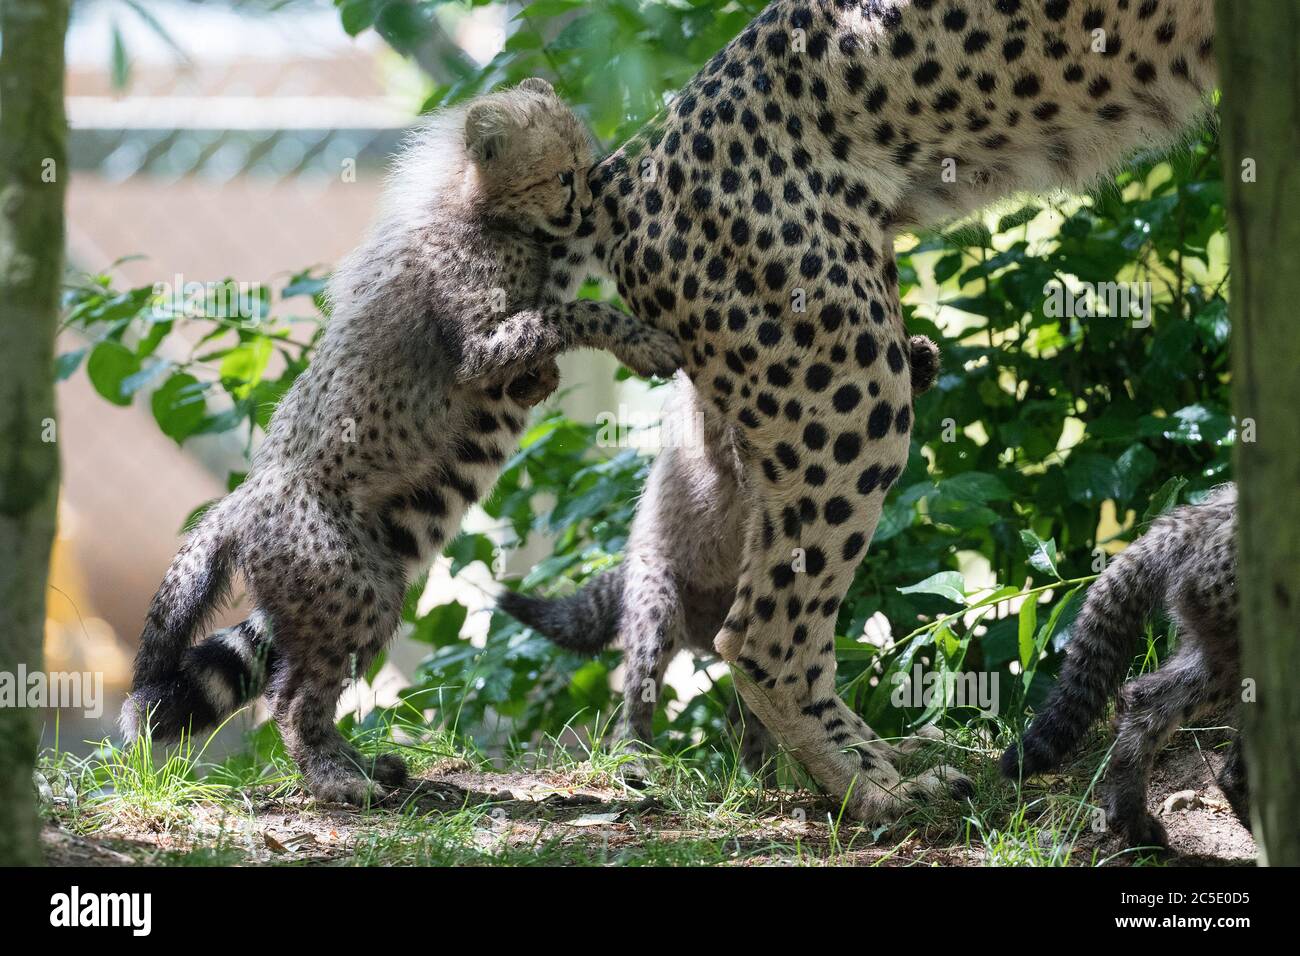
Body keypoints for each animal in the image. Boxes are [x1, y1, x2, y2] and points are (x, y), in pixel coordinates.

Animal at [121, 79, 683, 805]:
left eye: (584, 166)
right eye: (564, 174)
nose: (591, 198)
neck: (476, 210)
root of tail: (244, 500)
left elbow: (543, 339)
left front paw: (545, 378)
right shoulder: (476, 344)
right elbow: (569, 311)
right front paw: (638, 340)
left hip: (370, 585)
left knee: (301, 684)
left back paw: (360, 765)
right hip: (347, 586)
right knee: (289, 697)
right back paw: (339, 781)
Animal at [499, 335, 940, 781]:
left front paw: (922, 360)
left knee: (746, 714)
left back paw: (760, 775)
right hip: (658, 606)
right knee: (639, 700)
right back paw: (637, 757)